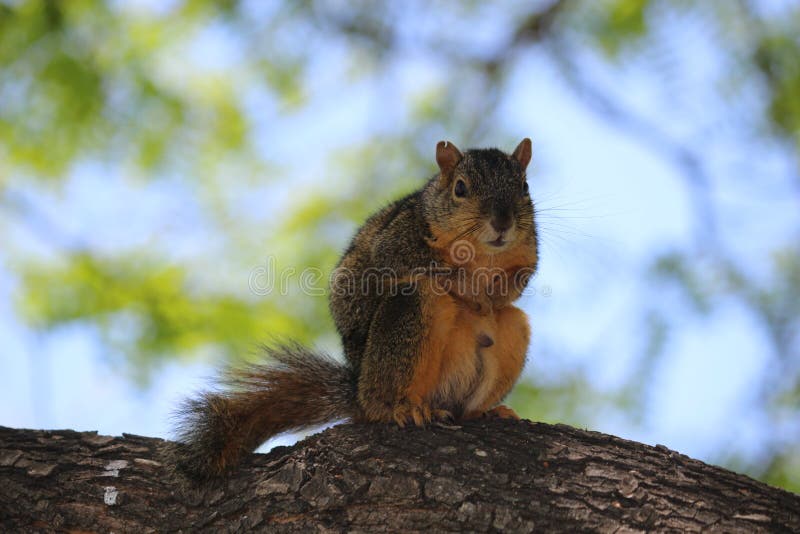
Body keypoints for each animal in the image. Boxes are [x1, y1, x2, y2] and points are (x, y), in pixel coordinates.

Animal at [172, 138, 539, 479]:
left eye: (524, 186)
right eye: (460, 188)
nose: (503, 222)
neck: (484, 253)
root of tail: (358, 391)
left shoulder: (527, 253)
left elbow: (519, 280)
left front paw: (490, 297)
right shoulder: (398, 240)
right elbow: (414, 265)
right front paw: (467, 287)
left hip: (513, 331)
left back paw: (484, 412)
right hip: (408, 313)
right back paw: (400, 408)